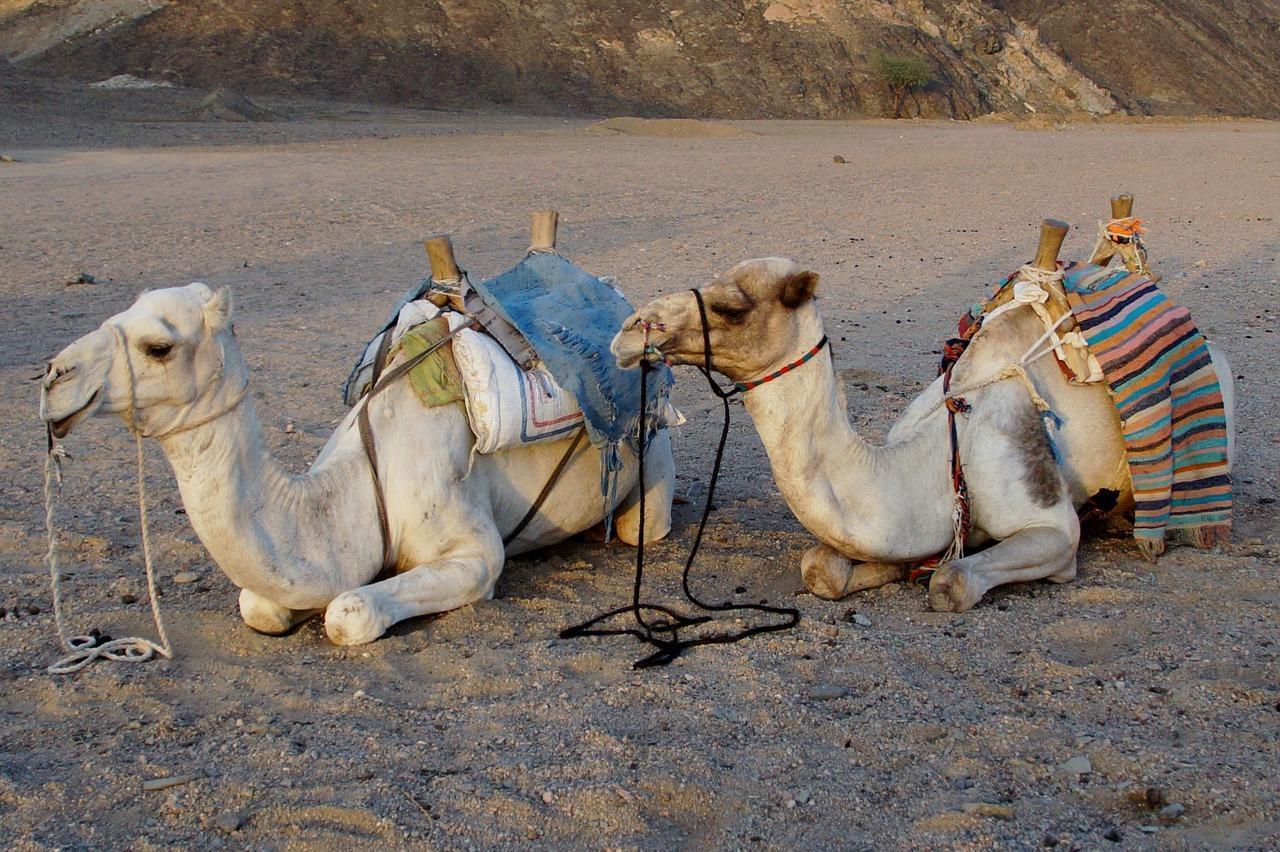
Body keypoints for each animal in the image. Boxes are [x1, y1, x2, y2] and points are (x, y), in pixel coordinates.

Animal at [39, 229, 676, 646]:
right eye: (117, 314)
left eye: (158, 346)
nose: (53, 378)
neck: (359, 485)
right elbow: (258, 604)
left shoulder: (475, 552)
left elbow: (347, 613)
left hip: (654, 444)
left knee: (640, 523)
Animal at [612, 219, 1234, 612]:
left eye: (731, 307)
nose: (630, 329)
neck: (929, 460)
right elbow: (823, 569)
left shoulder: (1053, 528)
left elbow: (950, 582)